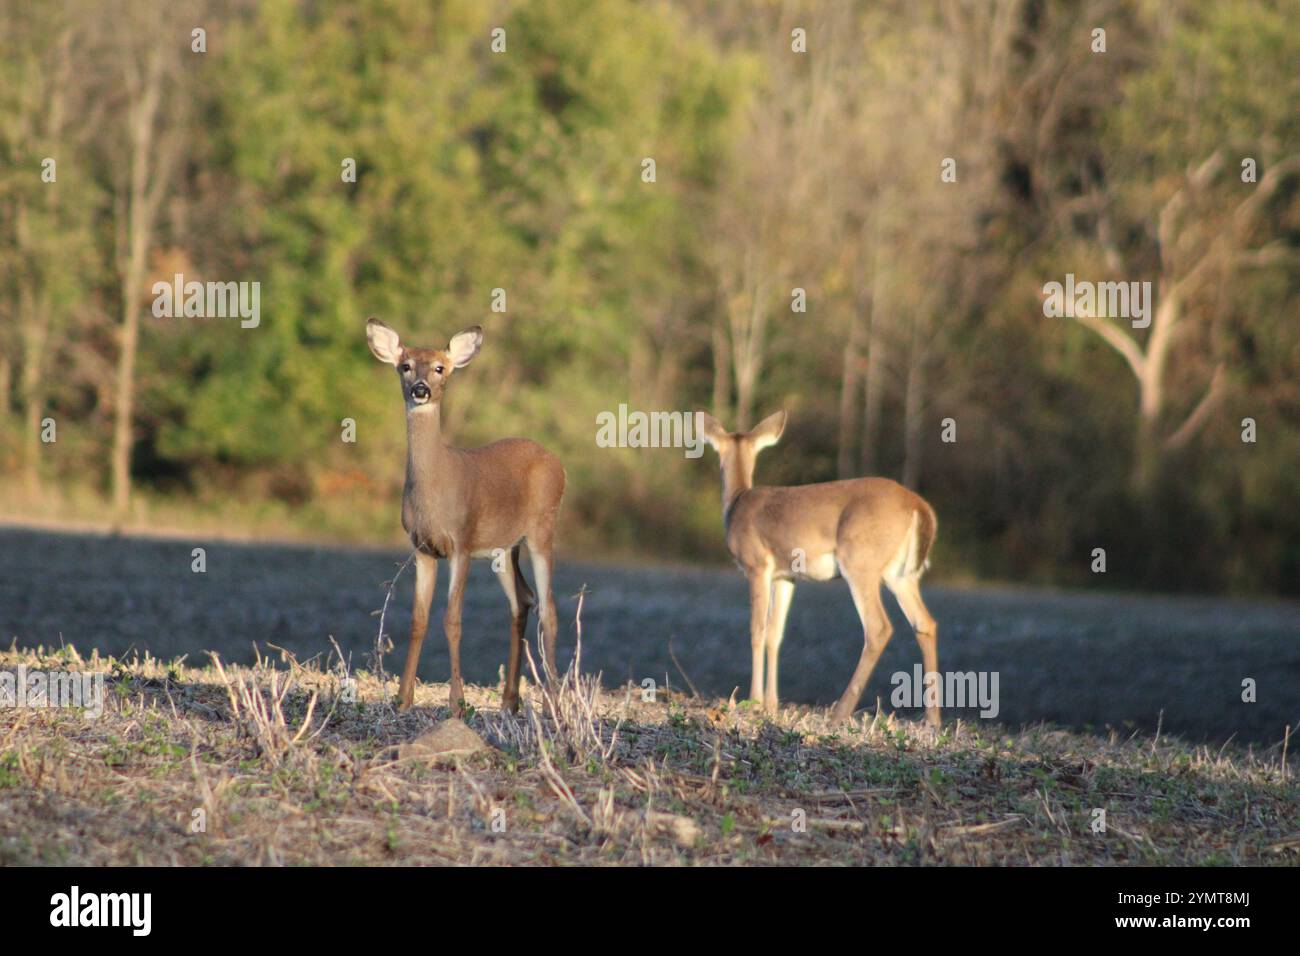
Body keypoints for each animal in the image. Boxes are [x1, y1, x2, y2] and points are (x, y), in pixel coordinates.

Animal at [366, 318, 566, 716]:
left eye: (440, 368)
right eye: (405, 365)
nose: (421, 389)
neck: (437, 487)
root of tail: (558, 464)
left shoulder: (462, 541)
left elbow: (452, 619)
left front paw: (456, 703)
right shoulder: (423, 548)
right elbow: (418, 619)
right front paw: (403, 698)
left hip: (543, 527)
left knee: (549, 608)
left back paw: (551, 704)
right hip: (505, 549)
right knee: (523, 601)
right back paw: (510, 701)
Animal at [698, 410, 941, 727]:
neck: (738, 502)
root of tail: (919, 506)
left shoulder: (757, 565)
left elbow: (757, 630)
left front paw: (753, 701)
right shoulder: (786, 576)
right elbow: (776, 633)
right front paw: (771, 704)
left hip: (859, 562)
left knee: (878, 628)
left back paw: (839, 712)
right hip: (900, 574)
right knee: (925, 623)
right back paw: (932, 719)